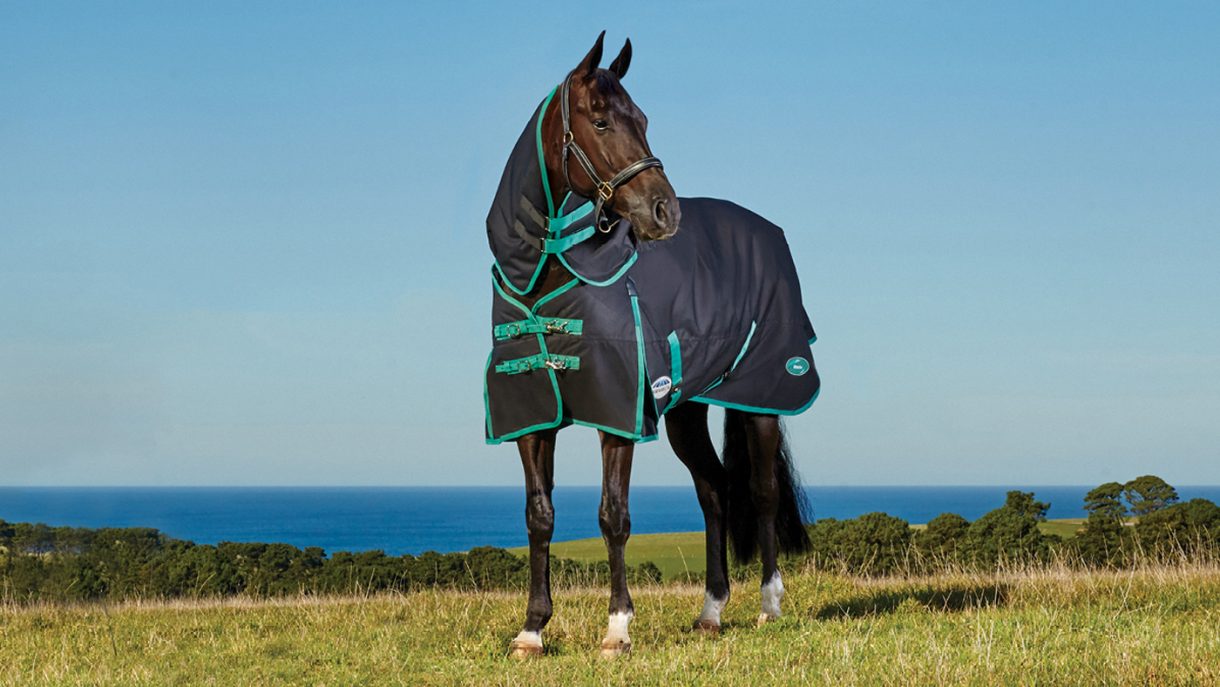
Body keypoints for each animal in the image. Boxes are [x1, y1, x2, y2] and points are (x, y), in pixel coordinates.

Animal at [484, 32, 820, 659]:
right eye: (600, 120)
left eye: (642, 119)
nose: (666, 211)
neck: (549, 276)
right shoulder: (533, 414)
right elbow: (539, 516)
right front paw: (532, 631)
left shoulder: (617, 410)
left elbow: (613, 516)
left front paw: (617, 629)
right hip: (686, 409)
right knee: (715, 491)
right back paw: (711, 611)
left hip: (761, 398)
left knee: (760, 491)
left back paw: (769, 605)